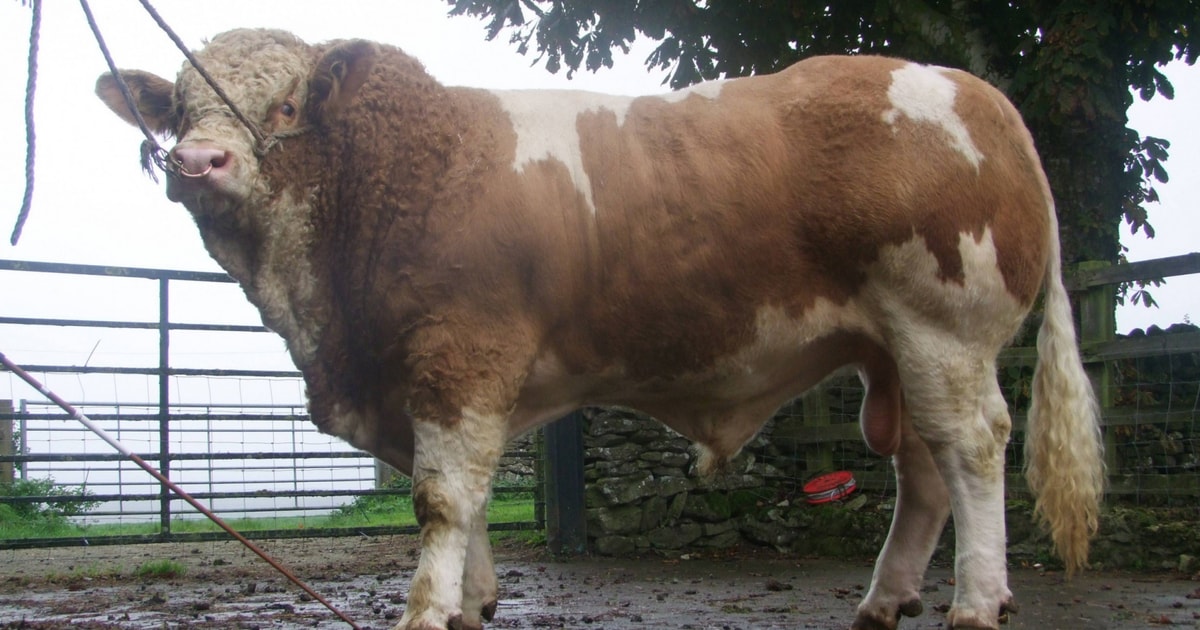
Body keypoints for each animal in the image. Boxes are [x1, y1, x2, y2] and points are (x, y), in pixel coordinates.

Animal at [96, 28, 1104, 630]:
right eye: (177, 106)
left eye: (285, 105)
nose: (196, 161)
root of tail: (969, 89)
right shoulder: (426, 379)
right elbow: (467, 498)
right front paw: (473, 603)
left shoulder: (460, 354)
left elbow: (442, 498)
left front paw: (426, 610)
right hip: (895, 350)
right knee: (924, 473)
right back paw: (883, 602)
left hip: (943, 328)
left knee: (973, 451)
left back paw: (976, 603)